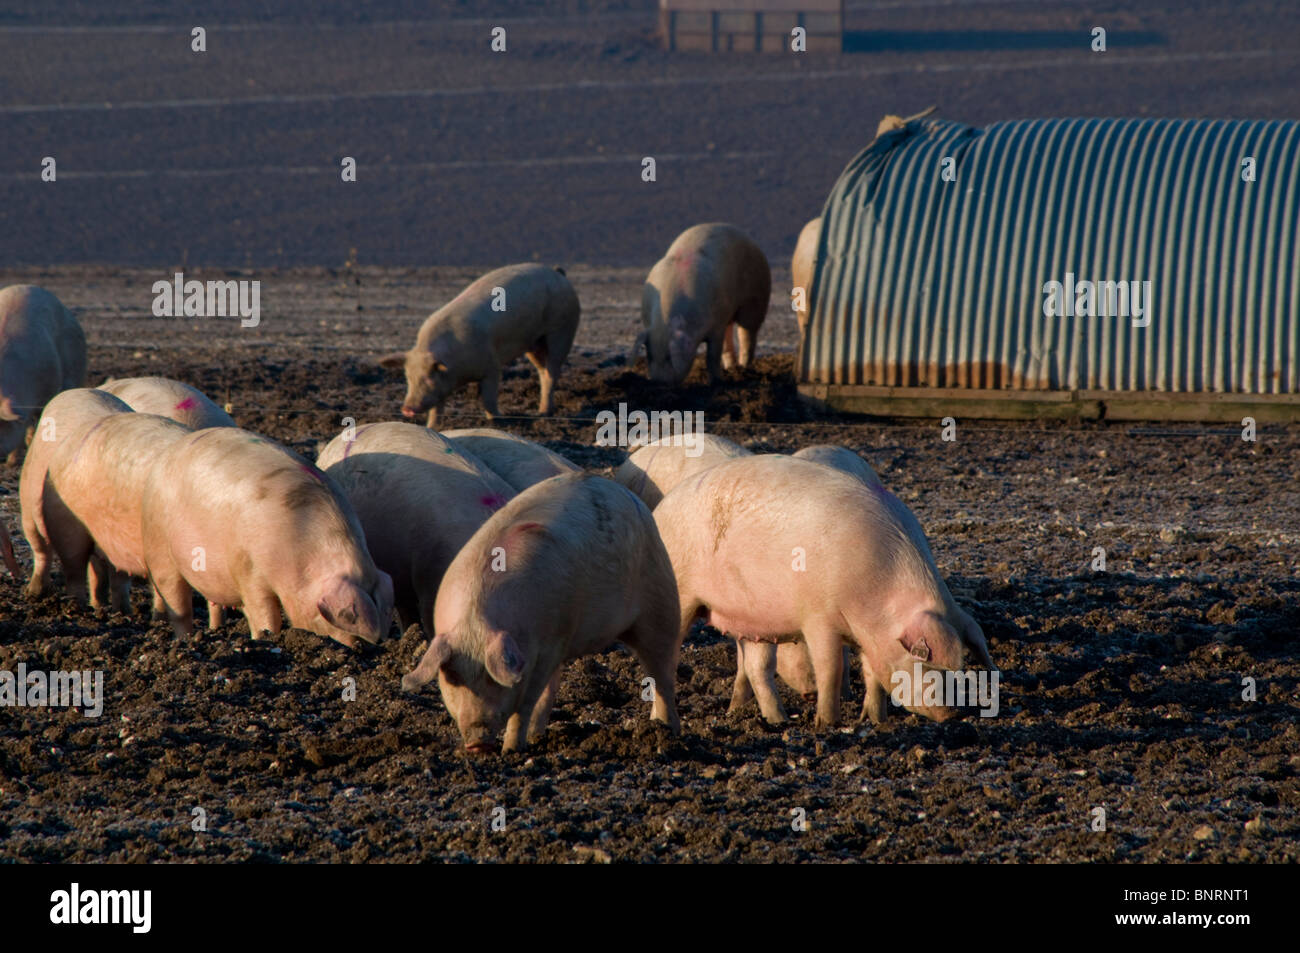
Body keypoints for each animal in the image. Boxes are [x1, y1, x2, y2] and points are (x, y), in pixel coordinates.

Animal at [141, 427, 394, 647]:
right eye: (327, 617)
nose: (358, 648)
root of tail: (169, 453)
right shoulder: (249, 570)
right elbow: (266, 615)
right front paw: (266, 638)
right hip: (158, 544)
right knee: (177, 603)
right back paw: (184, 641)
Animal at [377, 264, 580, 428]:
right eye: (408, 378)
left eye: (428, 378)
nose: (406, 409)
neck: (457, 370)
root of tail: (558, 273)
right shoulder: (442, 386)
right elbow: (437, 409)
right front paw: (431, 427)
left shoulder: (492, 366)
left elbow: (488, 398)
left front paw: (497, 421)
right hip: (533, 344)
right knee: (542, 372)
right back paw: (540, 410)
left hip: (562, 330)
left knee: (553, 371)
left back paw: (545, 412)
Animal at [401, 473, 682, 754]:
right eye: (452, 678)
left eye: (492, 679)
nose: (477, 743)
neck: (476, 625)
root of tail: (622, 491)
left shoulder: (546, 648)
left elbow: (525, 704)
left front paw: (510, 751)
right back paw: (537, 736)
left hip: (661, 602)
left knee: (663, 675)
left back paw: (668, 731)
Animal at [635, 223, 770, 386]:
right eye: (649, 355)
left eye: (669, 357)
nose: (659, 382)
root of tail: (747, 237)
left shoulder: (716, 326)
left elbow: (712, 356)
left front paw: (716, 382)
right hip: (729, 313)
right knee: (730, 339)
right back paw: (731, 368)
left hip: (756, 297)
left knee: (747, 335)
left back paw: (743, 369)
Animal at [653, 455, 994, 729]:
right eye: (928, 665)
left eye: (959, 668)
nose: (956, 714)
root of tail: (659, 511)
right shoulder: (818, 618)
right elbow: (831, 669)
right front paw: (827, 725)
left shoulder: (869, 634)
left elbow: (872, 675)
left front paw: (874, 720)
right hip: (683, 596)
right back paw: (661, 722)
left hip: (754, 620)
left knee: (757, 669)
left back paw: (777, 722)